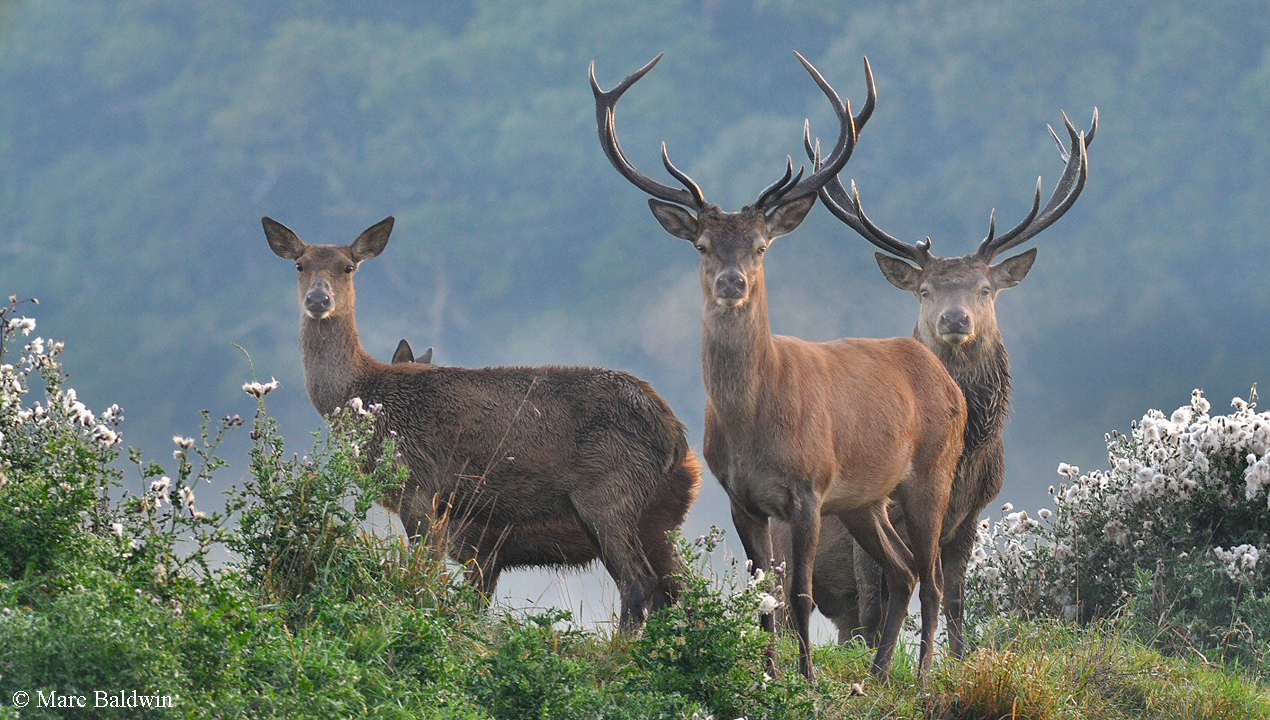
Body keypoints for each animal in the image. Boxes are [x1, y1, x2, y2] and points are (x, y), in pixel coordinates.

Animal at [591, 52, 966, 680]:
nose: (732, 282)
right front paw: (767, 674)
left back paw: (919, 676)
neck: (757, 424)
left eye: (761, 246)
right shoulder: (740, 497)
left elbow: (800, 594)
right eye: (702, 246)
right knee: (902, 569)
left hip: (932, 472)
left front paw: (806, 681)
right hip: (864, 499)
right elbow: (764, 594)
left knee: (933, 575)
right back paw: (876, 674)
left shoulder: (809, 489)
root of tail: (944, 378)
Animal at [777, 106, 1096, 658]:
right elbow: (876, 600)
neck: (962, 457)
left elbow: (953, 598)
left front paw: (959, 659)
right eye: (924, 291)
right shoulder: (871, 505)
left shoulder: (968, 516)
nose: (954, 318)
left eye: (986, 288)